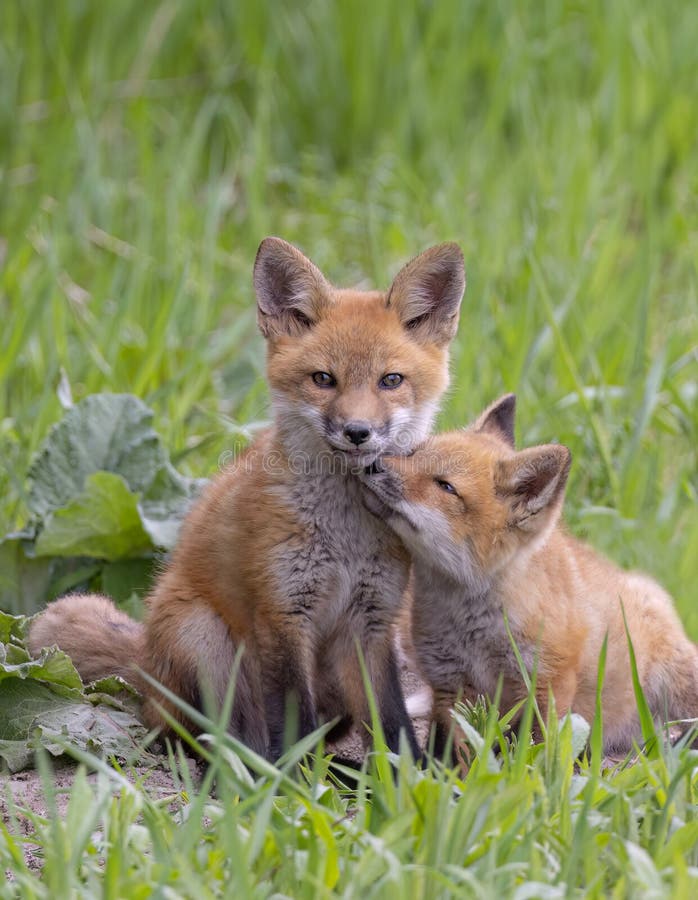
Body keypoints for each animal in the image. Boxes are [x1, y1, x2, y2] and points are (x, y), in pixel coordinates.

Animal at [29, 237, 466, 761]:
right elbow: (293, 724)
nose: (357, 432)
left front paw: (409, 776)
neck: (345, 536)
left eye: (391, 380)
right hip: (203, 636)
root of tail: (144, 662)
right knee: (206, 739)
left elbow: (391, 722)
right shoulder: (281, 614)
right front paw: (294, 781)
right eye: (323, 379)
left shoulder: (373, 622)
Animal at [359, 394, 698, 758]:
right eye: (412, 454)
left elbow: (539, 753)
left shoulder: (548, 681)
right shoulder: (451, 683)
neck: (472, 626)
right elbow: (463, 759)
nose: (373, 465)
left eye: (445, 486)